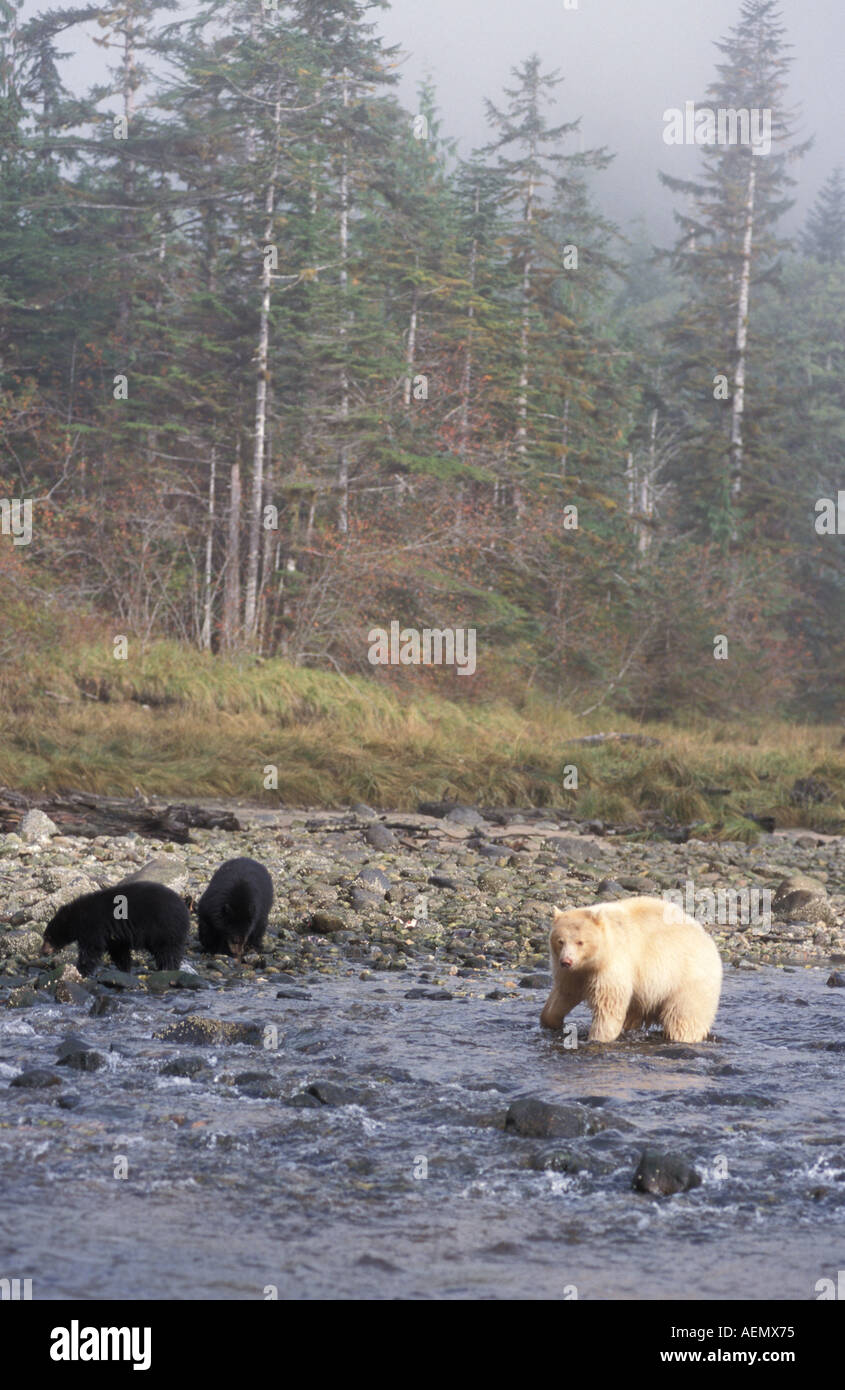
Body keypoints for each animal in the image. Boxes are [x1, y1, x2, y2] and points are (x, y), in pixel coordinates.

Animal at [41, 882, 190, 977]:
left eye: (47, 937)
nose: (42, 951)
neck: (78, 916)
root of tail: (185, 909)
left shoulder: (93, 927)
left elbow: (91, 950)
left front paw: (81, 970)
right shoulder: (114, 935)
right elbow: (119, 951)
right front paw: (124, 968)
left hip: (163, 927)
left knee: (168, 951)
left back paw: (168, 969)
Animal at [539, 896, 722, 1043]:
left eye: (580, 942)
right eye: (560, 941)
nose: (566, 961)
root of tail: (710, 942)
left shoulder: (614, 964)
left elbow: (608, 1005)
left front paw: (597, 1038)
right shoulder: (573, 973)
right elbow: (565, 993)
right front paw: (551, 1021)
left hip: (687, 982)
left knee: (683, 1018)